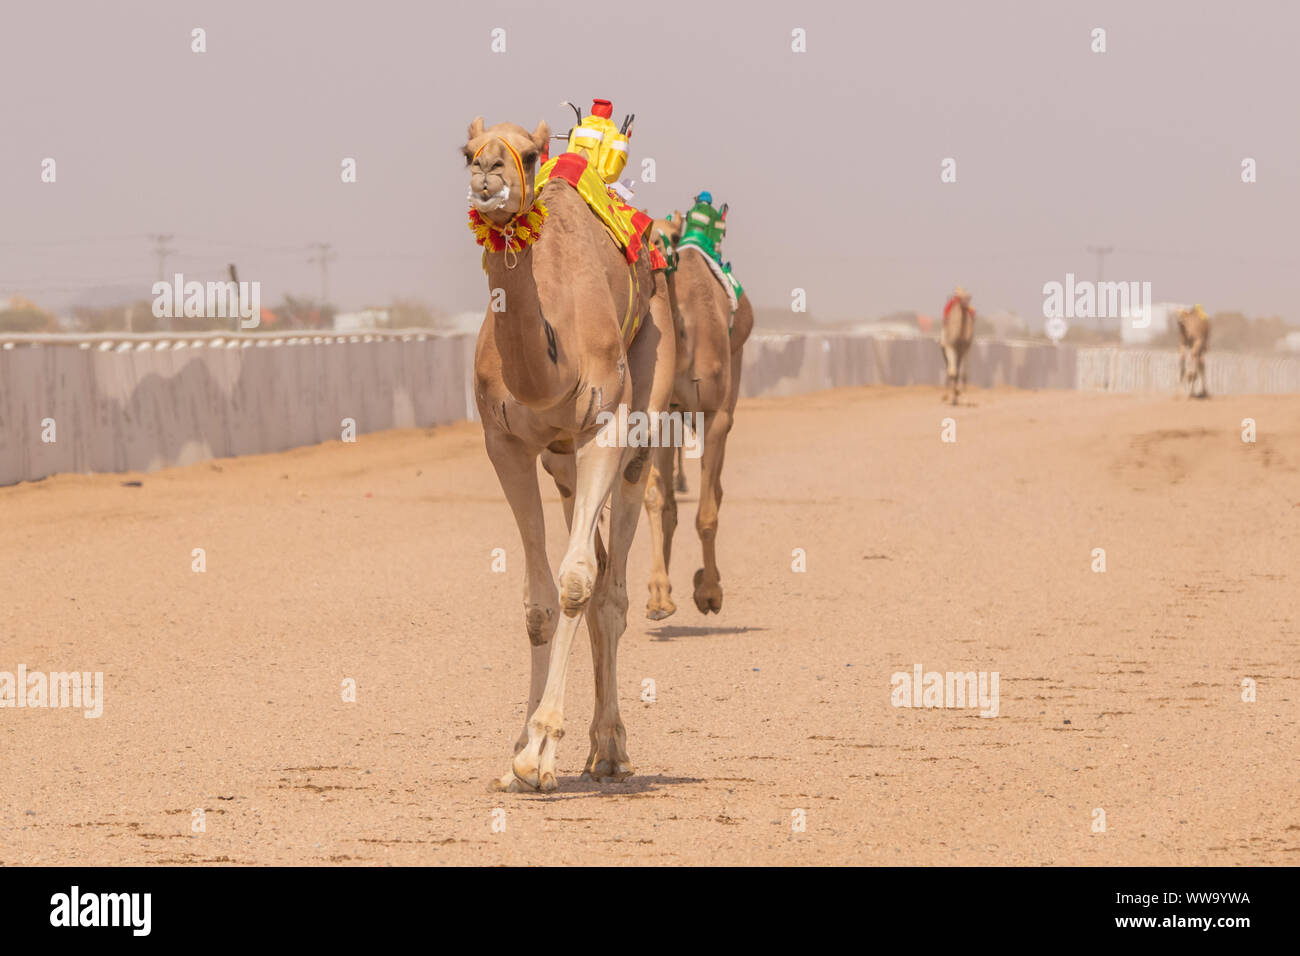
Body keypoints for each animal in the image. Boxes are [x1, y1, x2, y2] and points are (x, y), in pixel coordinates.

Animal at [463, 116, 675, 791]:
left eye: (531, 155)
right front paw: (517, 752)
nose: (488, 173)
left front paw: (538, 753)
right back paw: (595, 749)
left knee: (611, 588)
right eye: (465, 151)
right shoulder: (503, 443)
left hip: (642, 408)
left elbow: (578, 584)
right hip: (559, 463)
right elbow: (539, 602)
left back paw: (612, 751)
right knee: (597, 564)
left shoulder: (603, 428)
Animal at [642, 211, 753, 619]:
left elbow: (707, 513)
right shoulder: (654, 417)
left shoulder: (714, 415)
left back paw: (708, 580)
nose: (656, 249)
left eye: (673, 236)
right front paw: (658, 596)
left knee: (716, 491)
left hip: (733, 378)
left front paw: (709, 593)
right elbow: (657, 499)